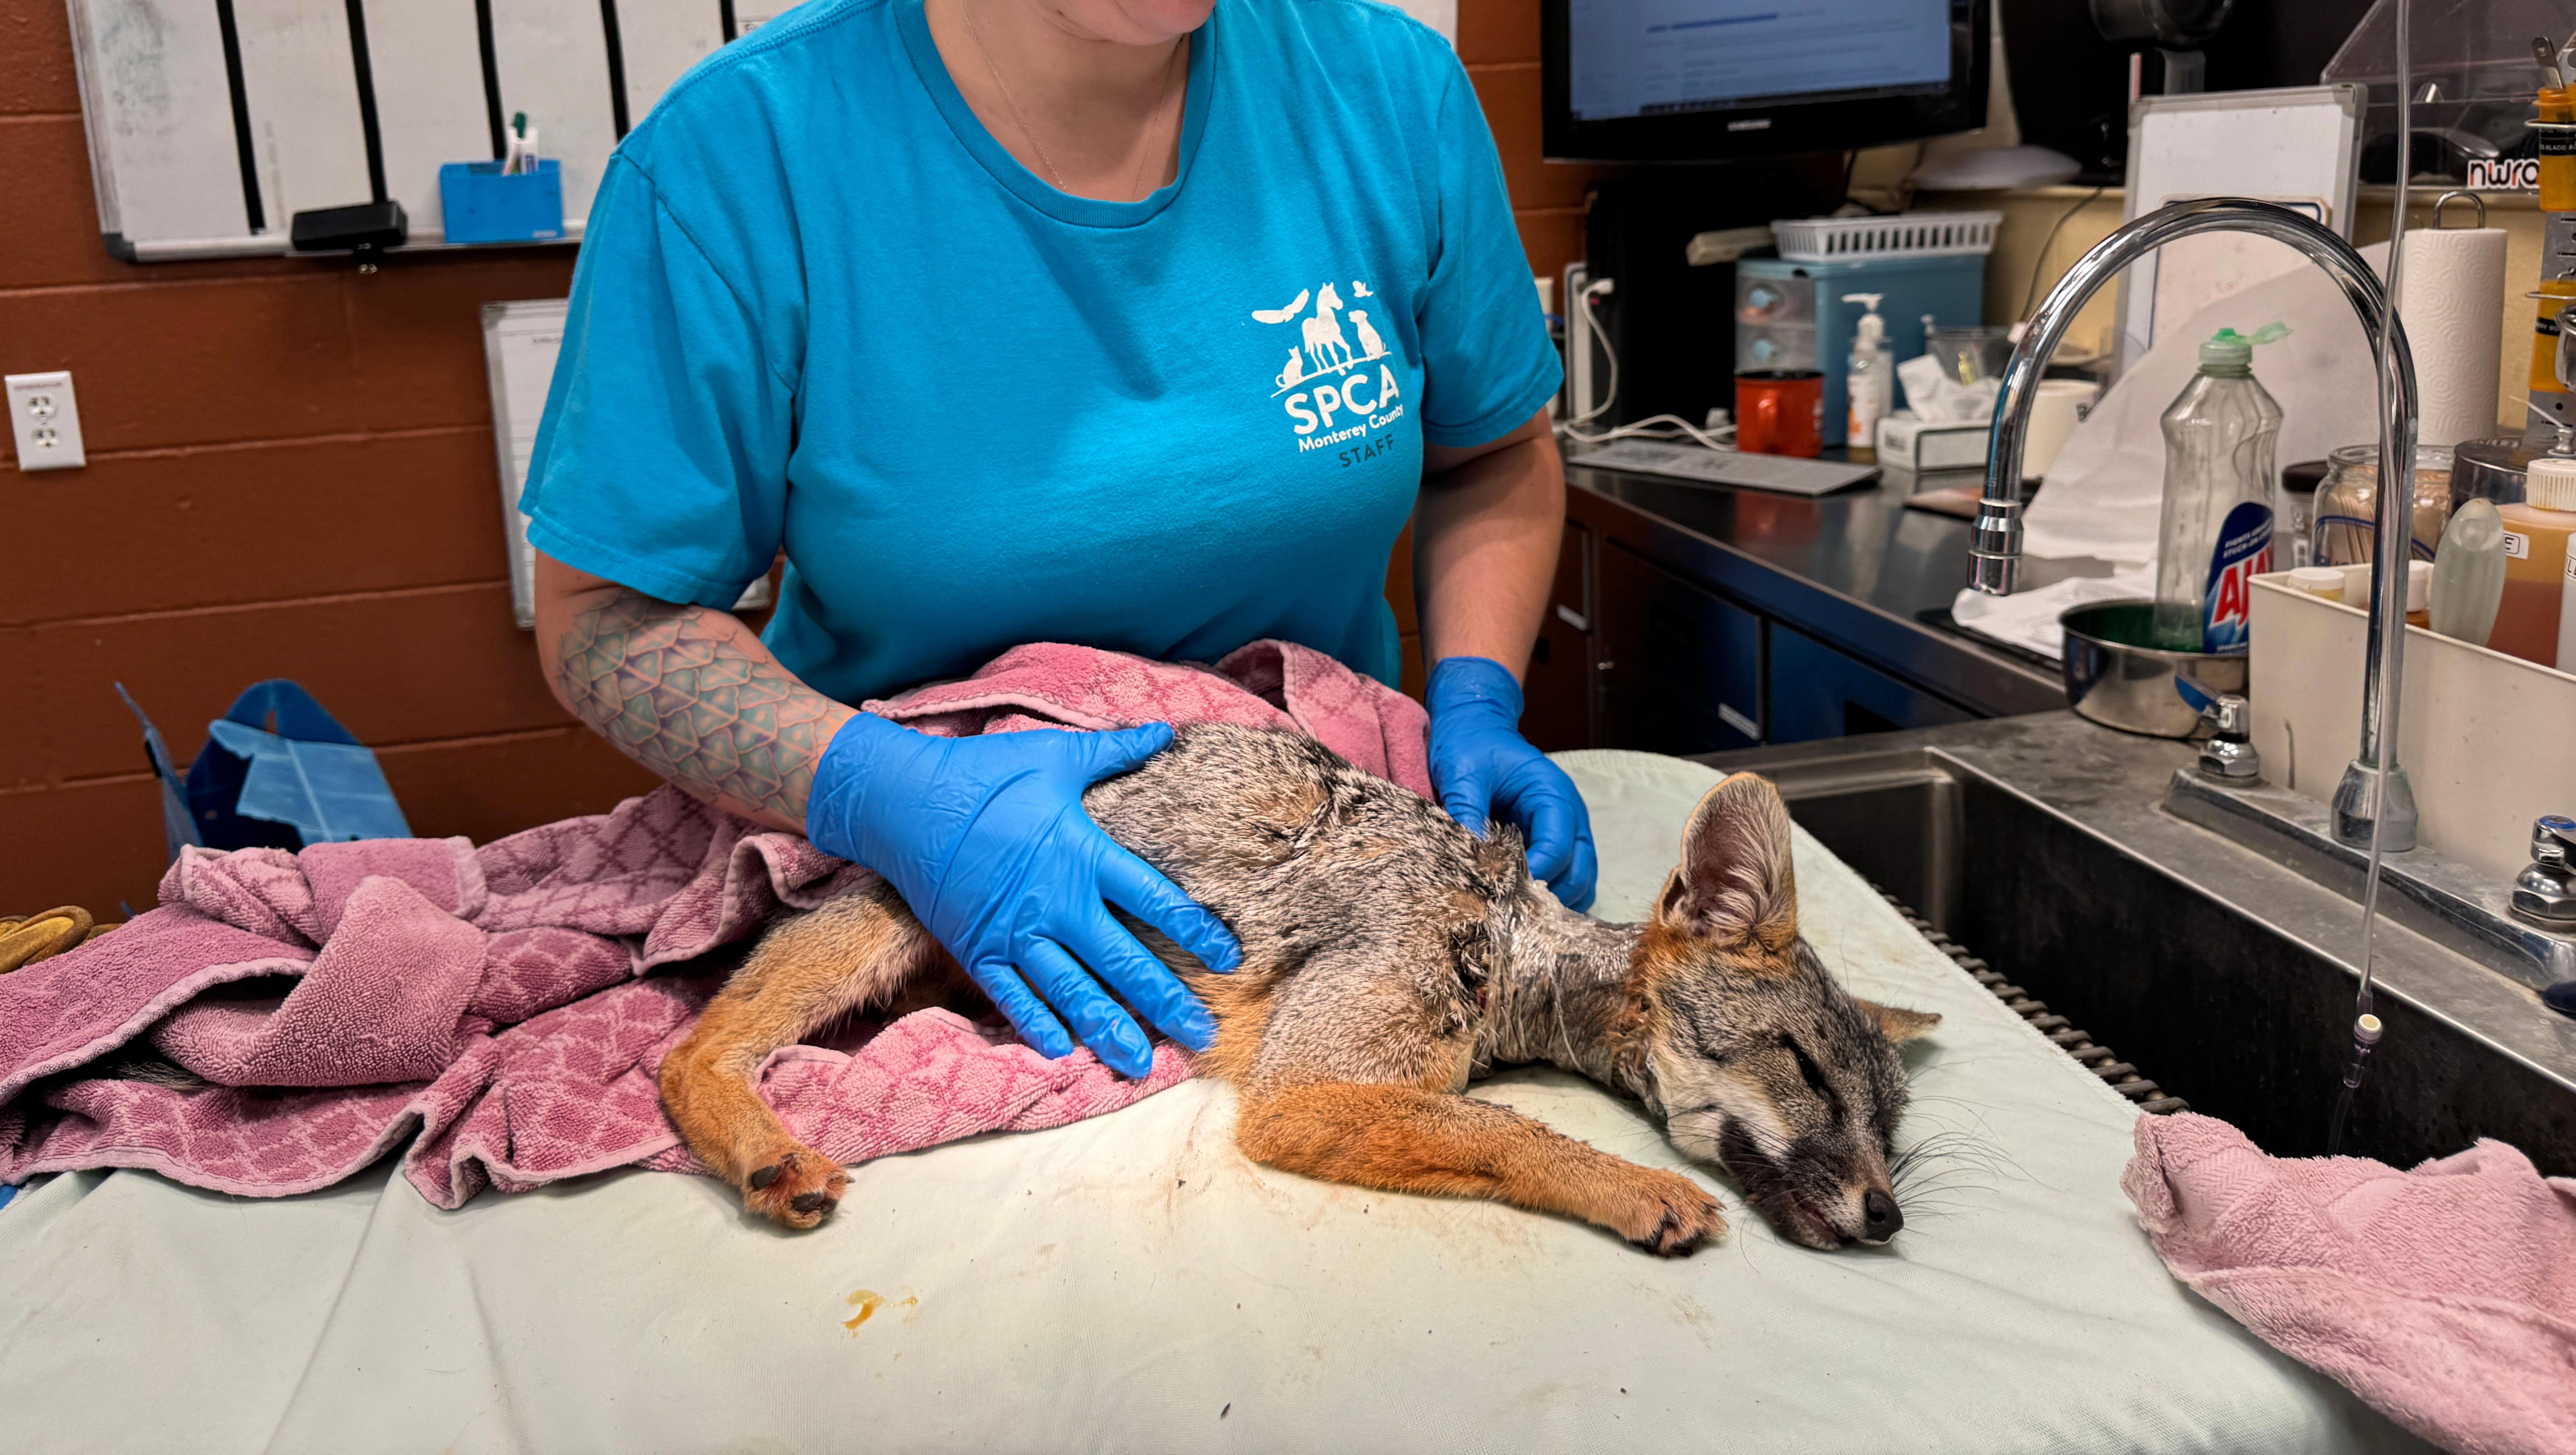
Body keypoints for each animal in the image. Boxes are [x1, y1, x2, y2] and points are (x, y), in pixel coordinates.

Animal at [658, 724, 1939, 1254]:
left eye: (1887, 1124)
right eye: (1804, 1070)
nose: (1889, 1216)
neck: (1506, 936)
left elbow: (1496, 1122)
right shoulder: (1300, 1095)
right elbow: (1515, 1134)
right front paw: (1633, 1188)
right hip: (882, 923)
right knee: (682, 1054)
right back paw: (763, 1153)